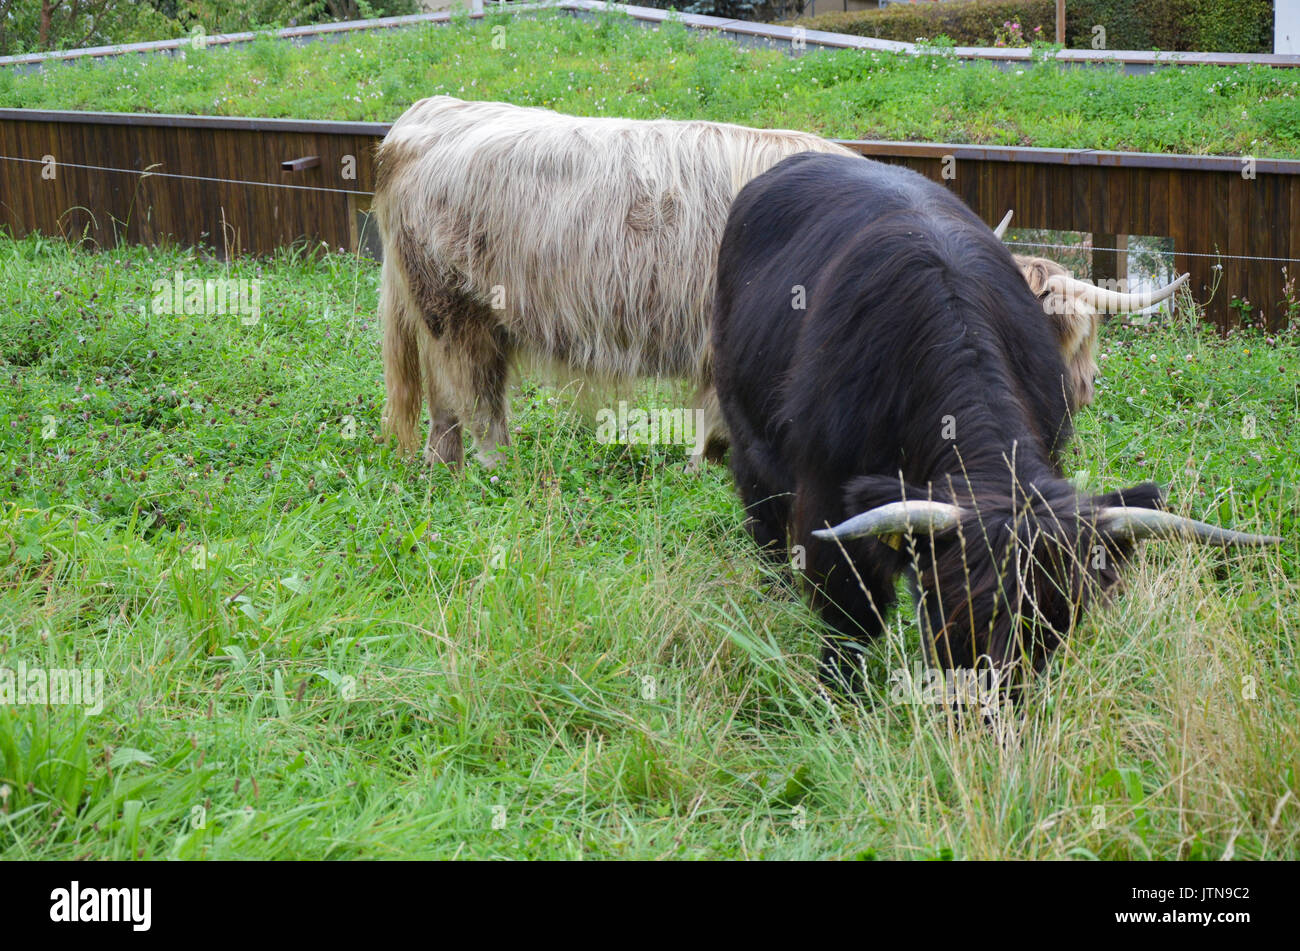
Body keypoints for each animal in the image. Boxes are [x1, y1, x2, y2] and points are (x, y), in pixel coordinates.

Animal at [711, 152, 1278, 698]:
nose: (989, 707)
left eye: (1056, 625)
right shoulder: (828, 492)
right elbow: (850, 613)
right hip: (747, 432)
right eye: (953, 611)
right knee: (763, 512)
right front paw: (837, 694)